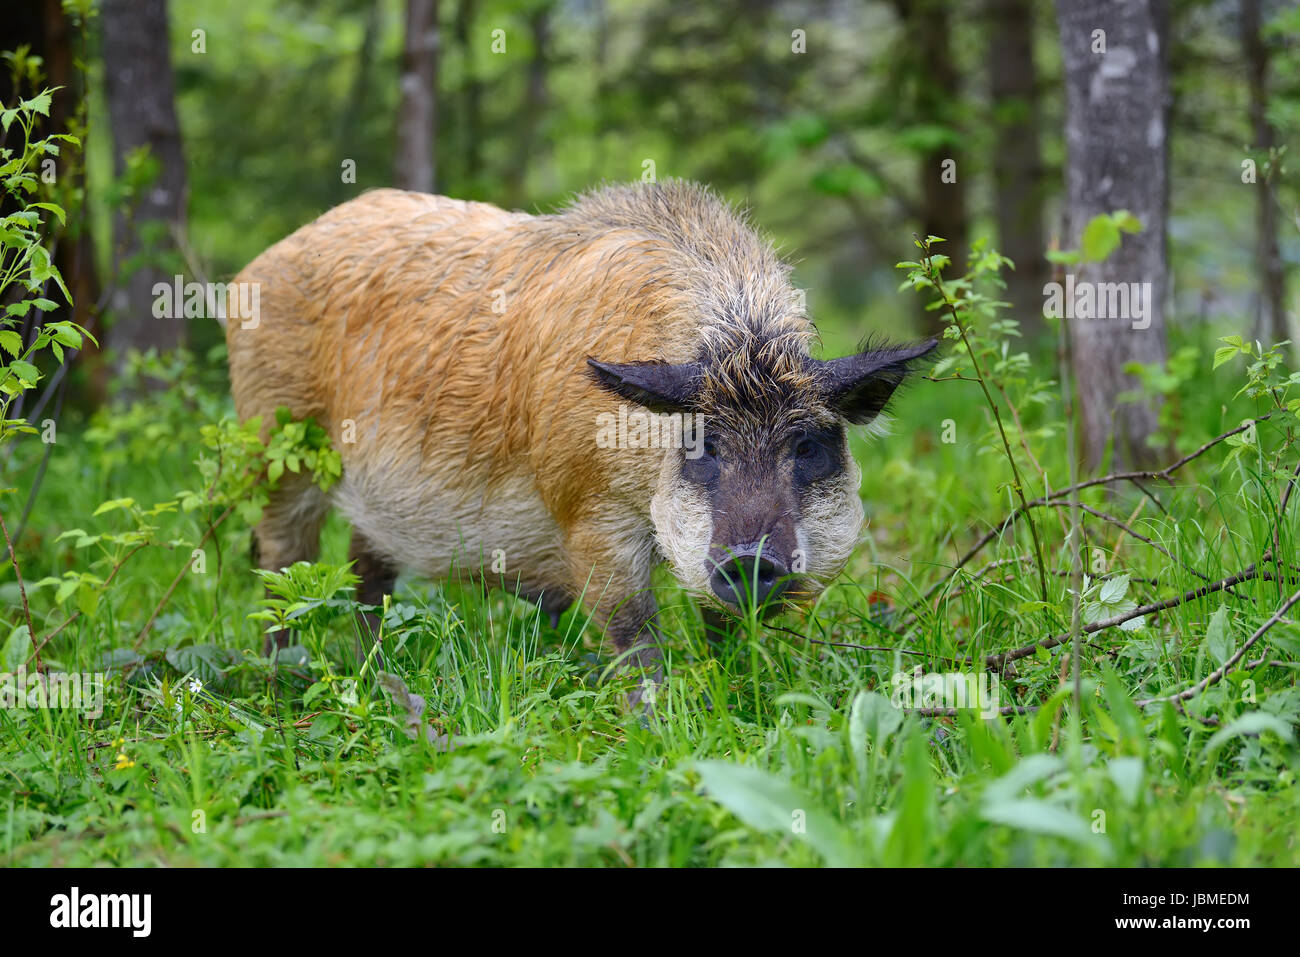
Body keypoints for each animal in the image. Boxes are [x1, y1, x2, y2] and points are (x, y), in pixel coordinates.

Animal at [226, 180, 935, 691]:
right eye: (702, 445)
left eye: (809, 446)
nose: (751, 559)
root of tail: (255, 268)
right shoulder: (586, 508)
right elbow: (632, 627)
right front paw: (656, 720)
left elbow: (717, 625)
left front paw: (733, 690)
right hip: (273, 441)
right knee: (281, 562)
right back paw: (279, 674)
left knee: (366, 566)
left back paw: (375, 666)